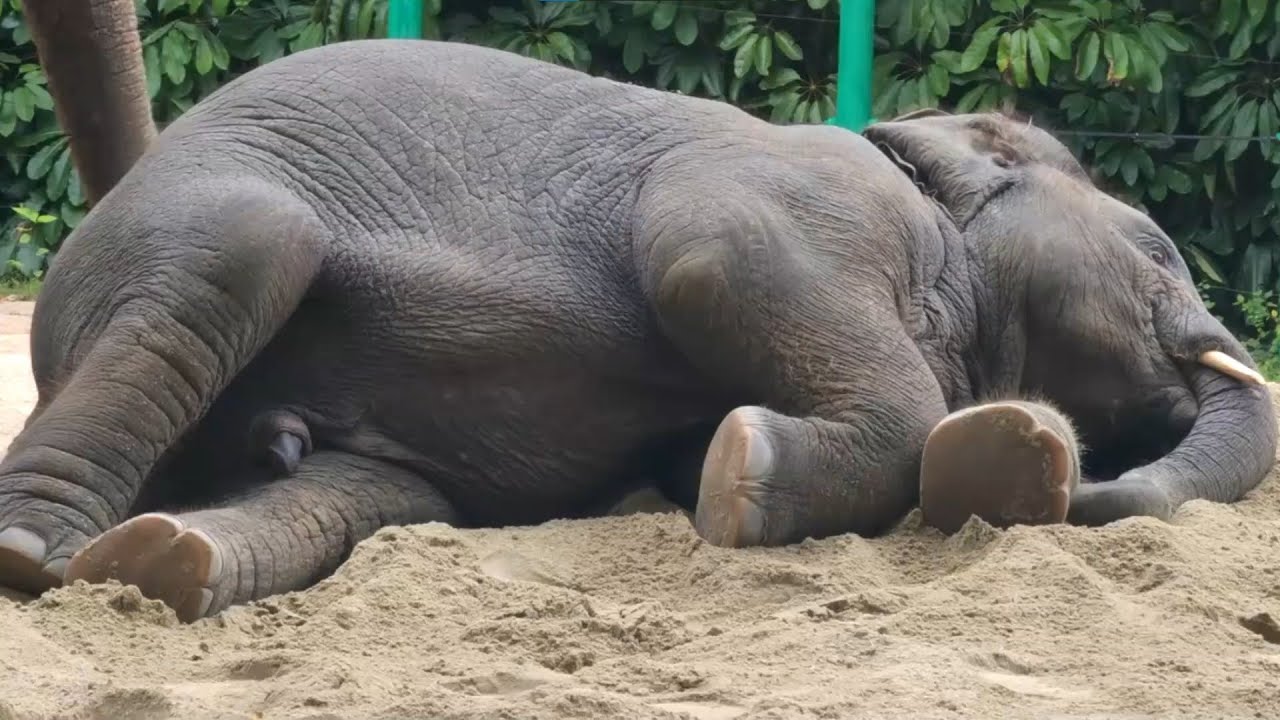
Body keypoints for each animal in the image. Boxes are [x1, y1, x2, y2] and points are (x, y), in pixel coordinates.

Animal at [0, 33, 1275, 623]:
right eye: (1157, 255)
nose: (1100, 487)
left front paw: (1007, 453)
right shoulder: (795, 192)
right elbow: (703, 251)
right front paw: (740, 475)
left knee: (367, 499)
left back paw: (162, 562)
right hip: (194, 228)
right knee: (244, 250)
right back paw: (37, 555)